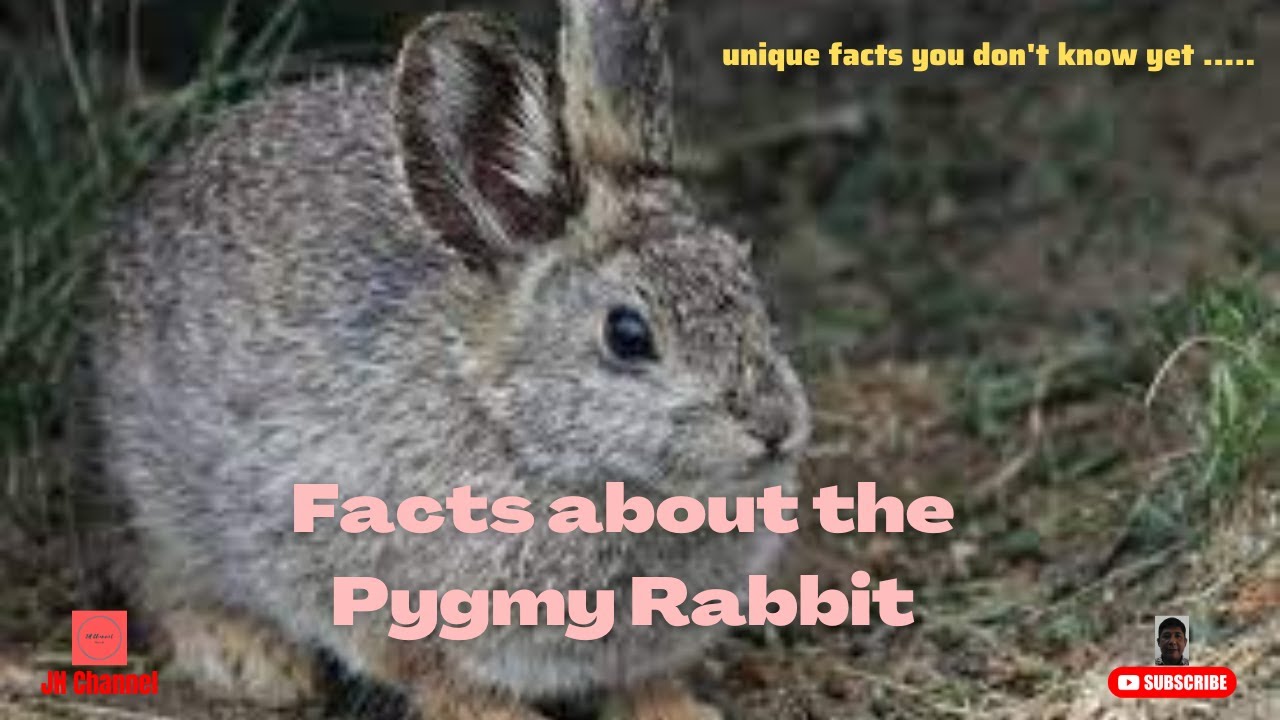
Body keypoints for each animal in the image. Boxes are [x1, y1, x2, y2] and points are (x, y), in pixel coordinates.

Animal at [90, 0, 810, 717]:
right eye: (628, 334)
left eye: (747, 280)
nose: (775, 426)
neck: (525, 435)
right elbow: (441, 678)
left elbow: (644, 684)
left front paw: (678, 709)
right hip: (158, 501)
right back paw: (249, 661)